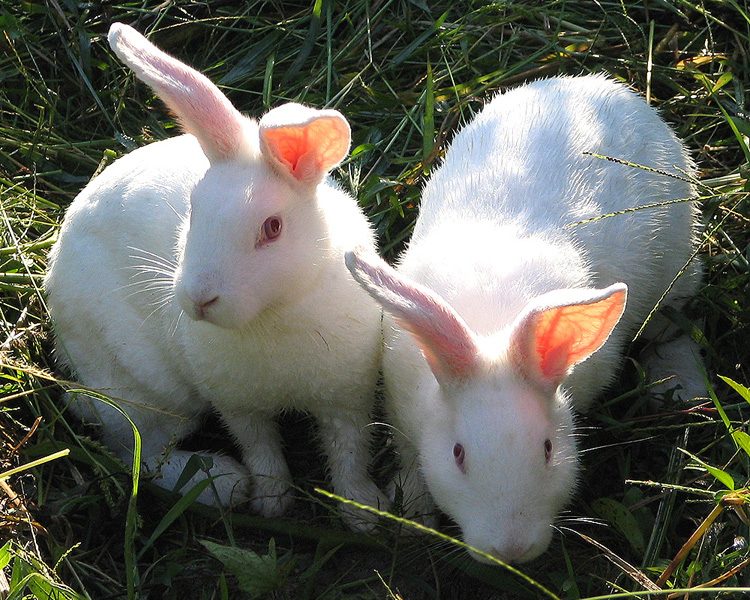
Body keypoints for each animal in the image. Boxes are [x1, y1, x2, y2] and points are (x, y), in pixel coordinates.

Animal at [44, 22, 388, 530]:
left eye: (272, 227)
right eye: (194, 209)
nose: (198, 300)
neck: (274, 313)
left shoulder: (347, 395)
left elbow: (349, 453)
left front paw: (364, 513)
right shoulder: (238, 405)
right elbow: (261, 451)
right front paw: (271, 502)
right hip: (151, 388)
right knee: (140, 451)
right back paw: (224, 482)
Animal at [345, 74, 705, 561]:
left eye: (549, 450)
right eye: (458, 453)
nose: (511, 550)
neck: (492, 329)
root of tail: (602, 86)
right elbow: (410, 455)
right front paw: (414, 510)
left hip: (677, 260)